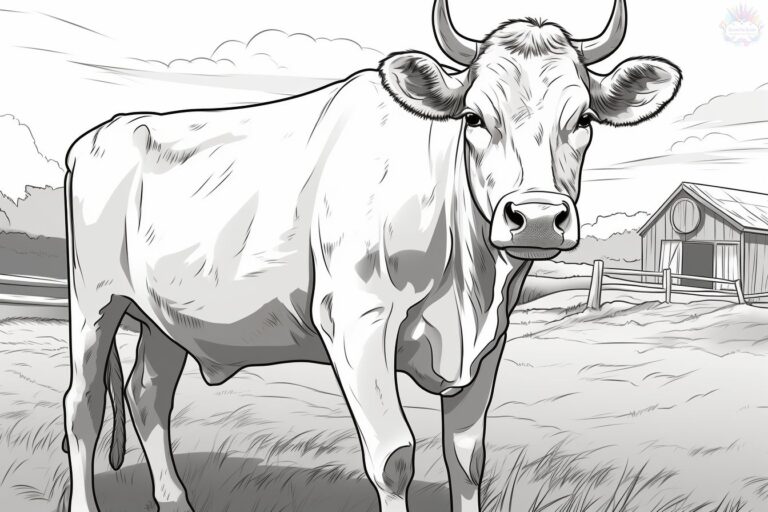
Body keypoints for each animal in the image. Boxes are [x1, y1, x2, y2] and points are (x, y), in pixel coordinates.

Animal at [62, 0, 680, 510]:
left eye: (584, 119)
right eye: (474, 117)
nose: (536, 216)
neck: (470, 283)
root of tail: (104, 131)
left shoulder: (491, 339)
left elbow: (467, 458)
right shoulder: (355, 321)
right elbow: (394, 456)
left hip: (167, 318)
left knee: (148, 397)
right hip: (94, 301)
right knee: (82, 407)